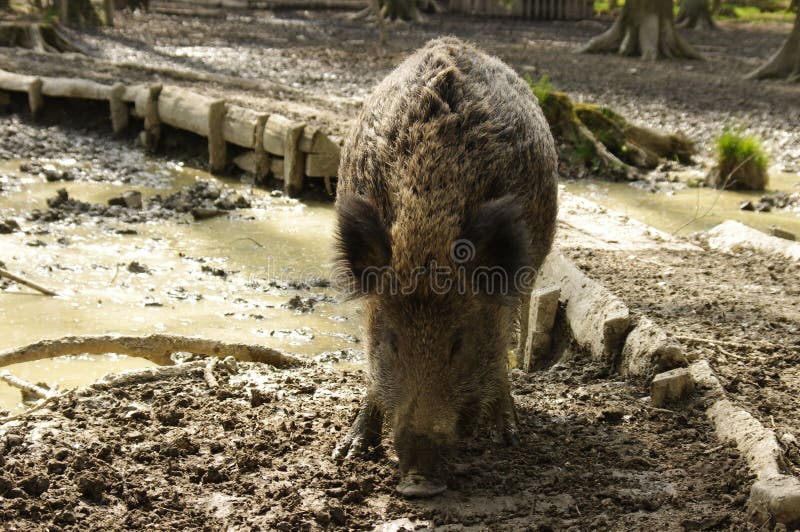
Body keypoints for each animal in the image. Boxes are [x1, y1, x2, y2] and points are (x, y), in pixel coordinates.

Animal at [332, 37, 558, 497]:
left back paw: (507, 432)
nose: (418, 484)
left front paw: (503, 438)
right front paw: (345, 454)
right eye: (392, 341)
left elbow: (498, 351)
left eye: (459, 343)